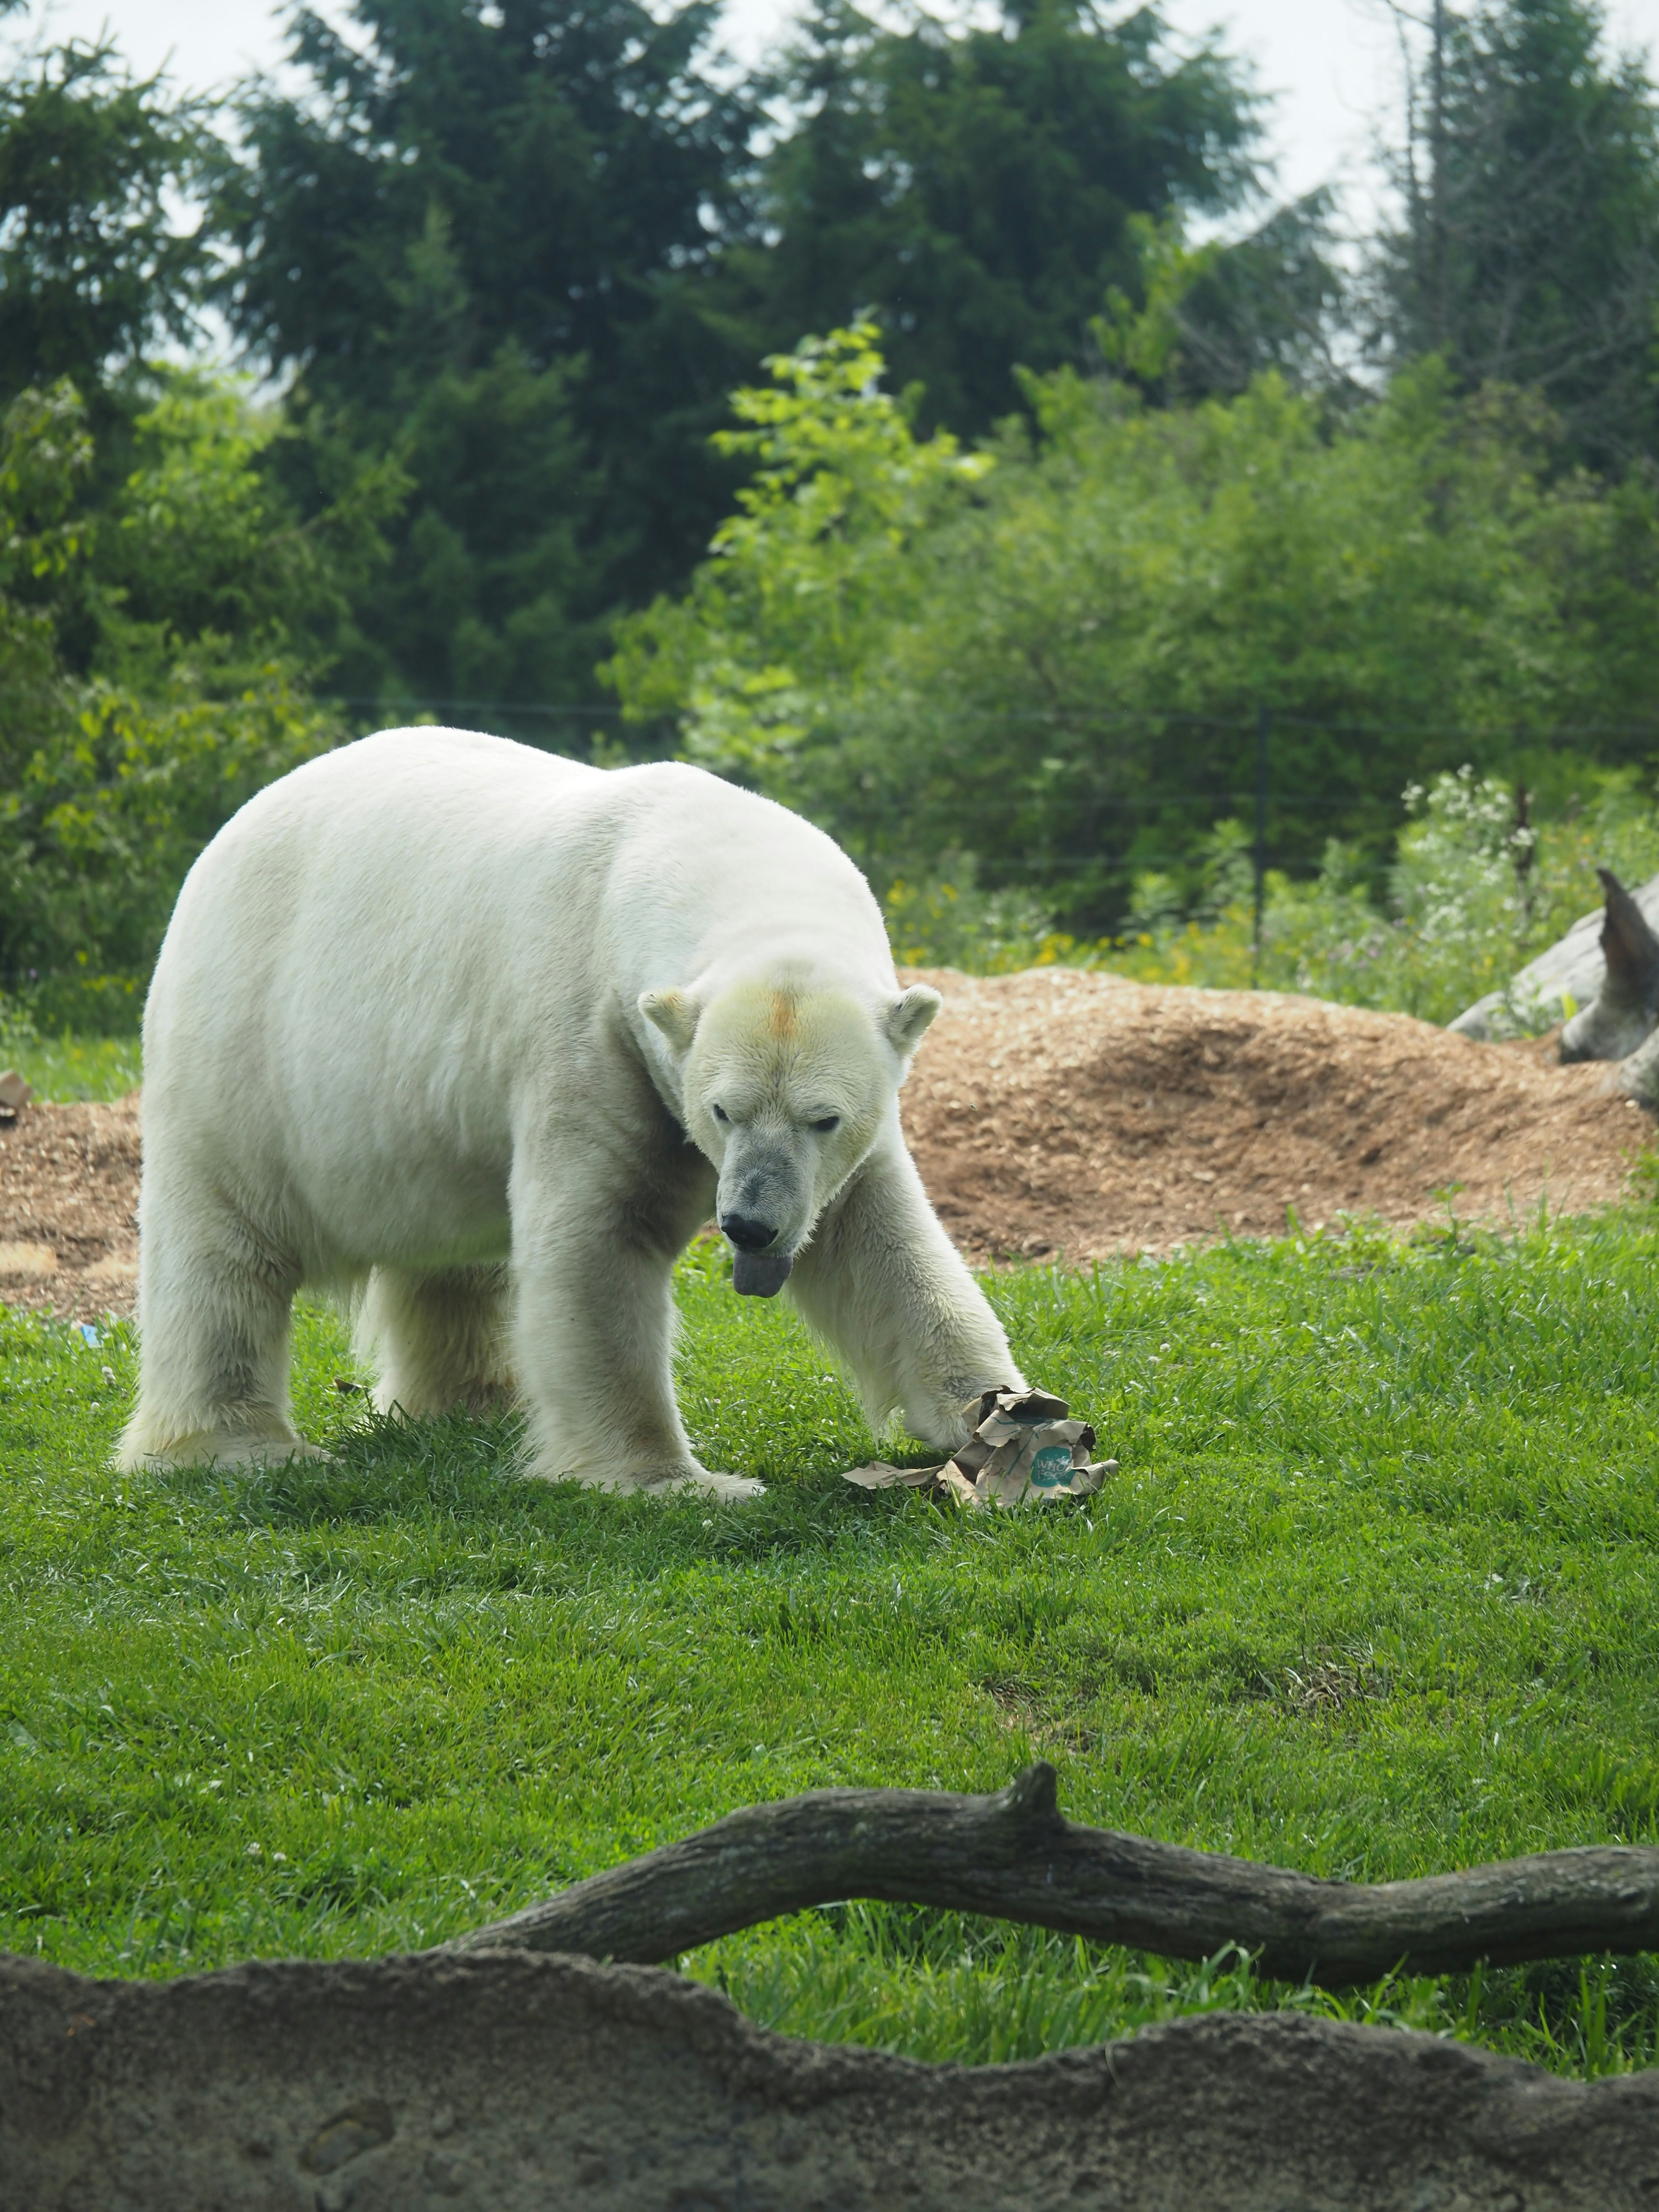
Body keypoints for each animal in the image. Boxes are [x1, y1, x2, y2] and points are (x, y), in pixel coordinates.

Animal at [118, 727, 1026, 1498]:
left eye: (822, 1117)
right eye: (721, 1108)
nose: (749, 1225)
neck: (685, 846)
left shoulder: (835, 1138)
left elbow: (876, 1238)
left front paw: (1004, 1415)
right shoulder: (593, 1035)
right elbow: (602, 1235)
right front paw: (672, 1480)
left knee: (451, 1254)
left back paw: (474, 1398)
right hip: (245, 1047)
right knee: (224, 1248)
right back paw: (234, 1445)